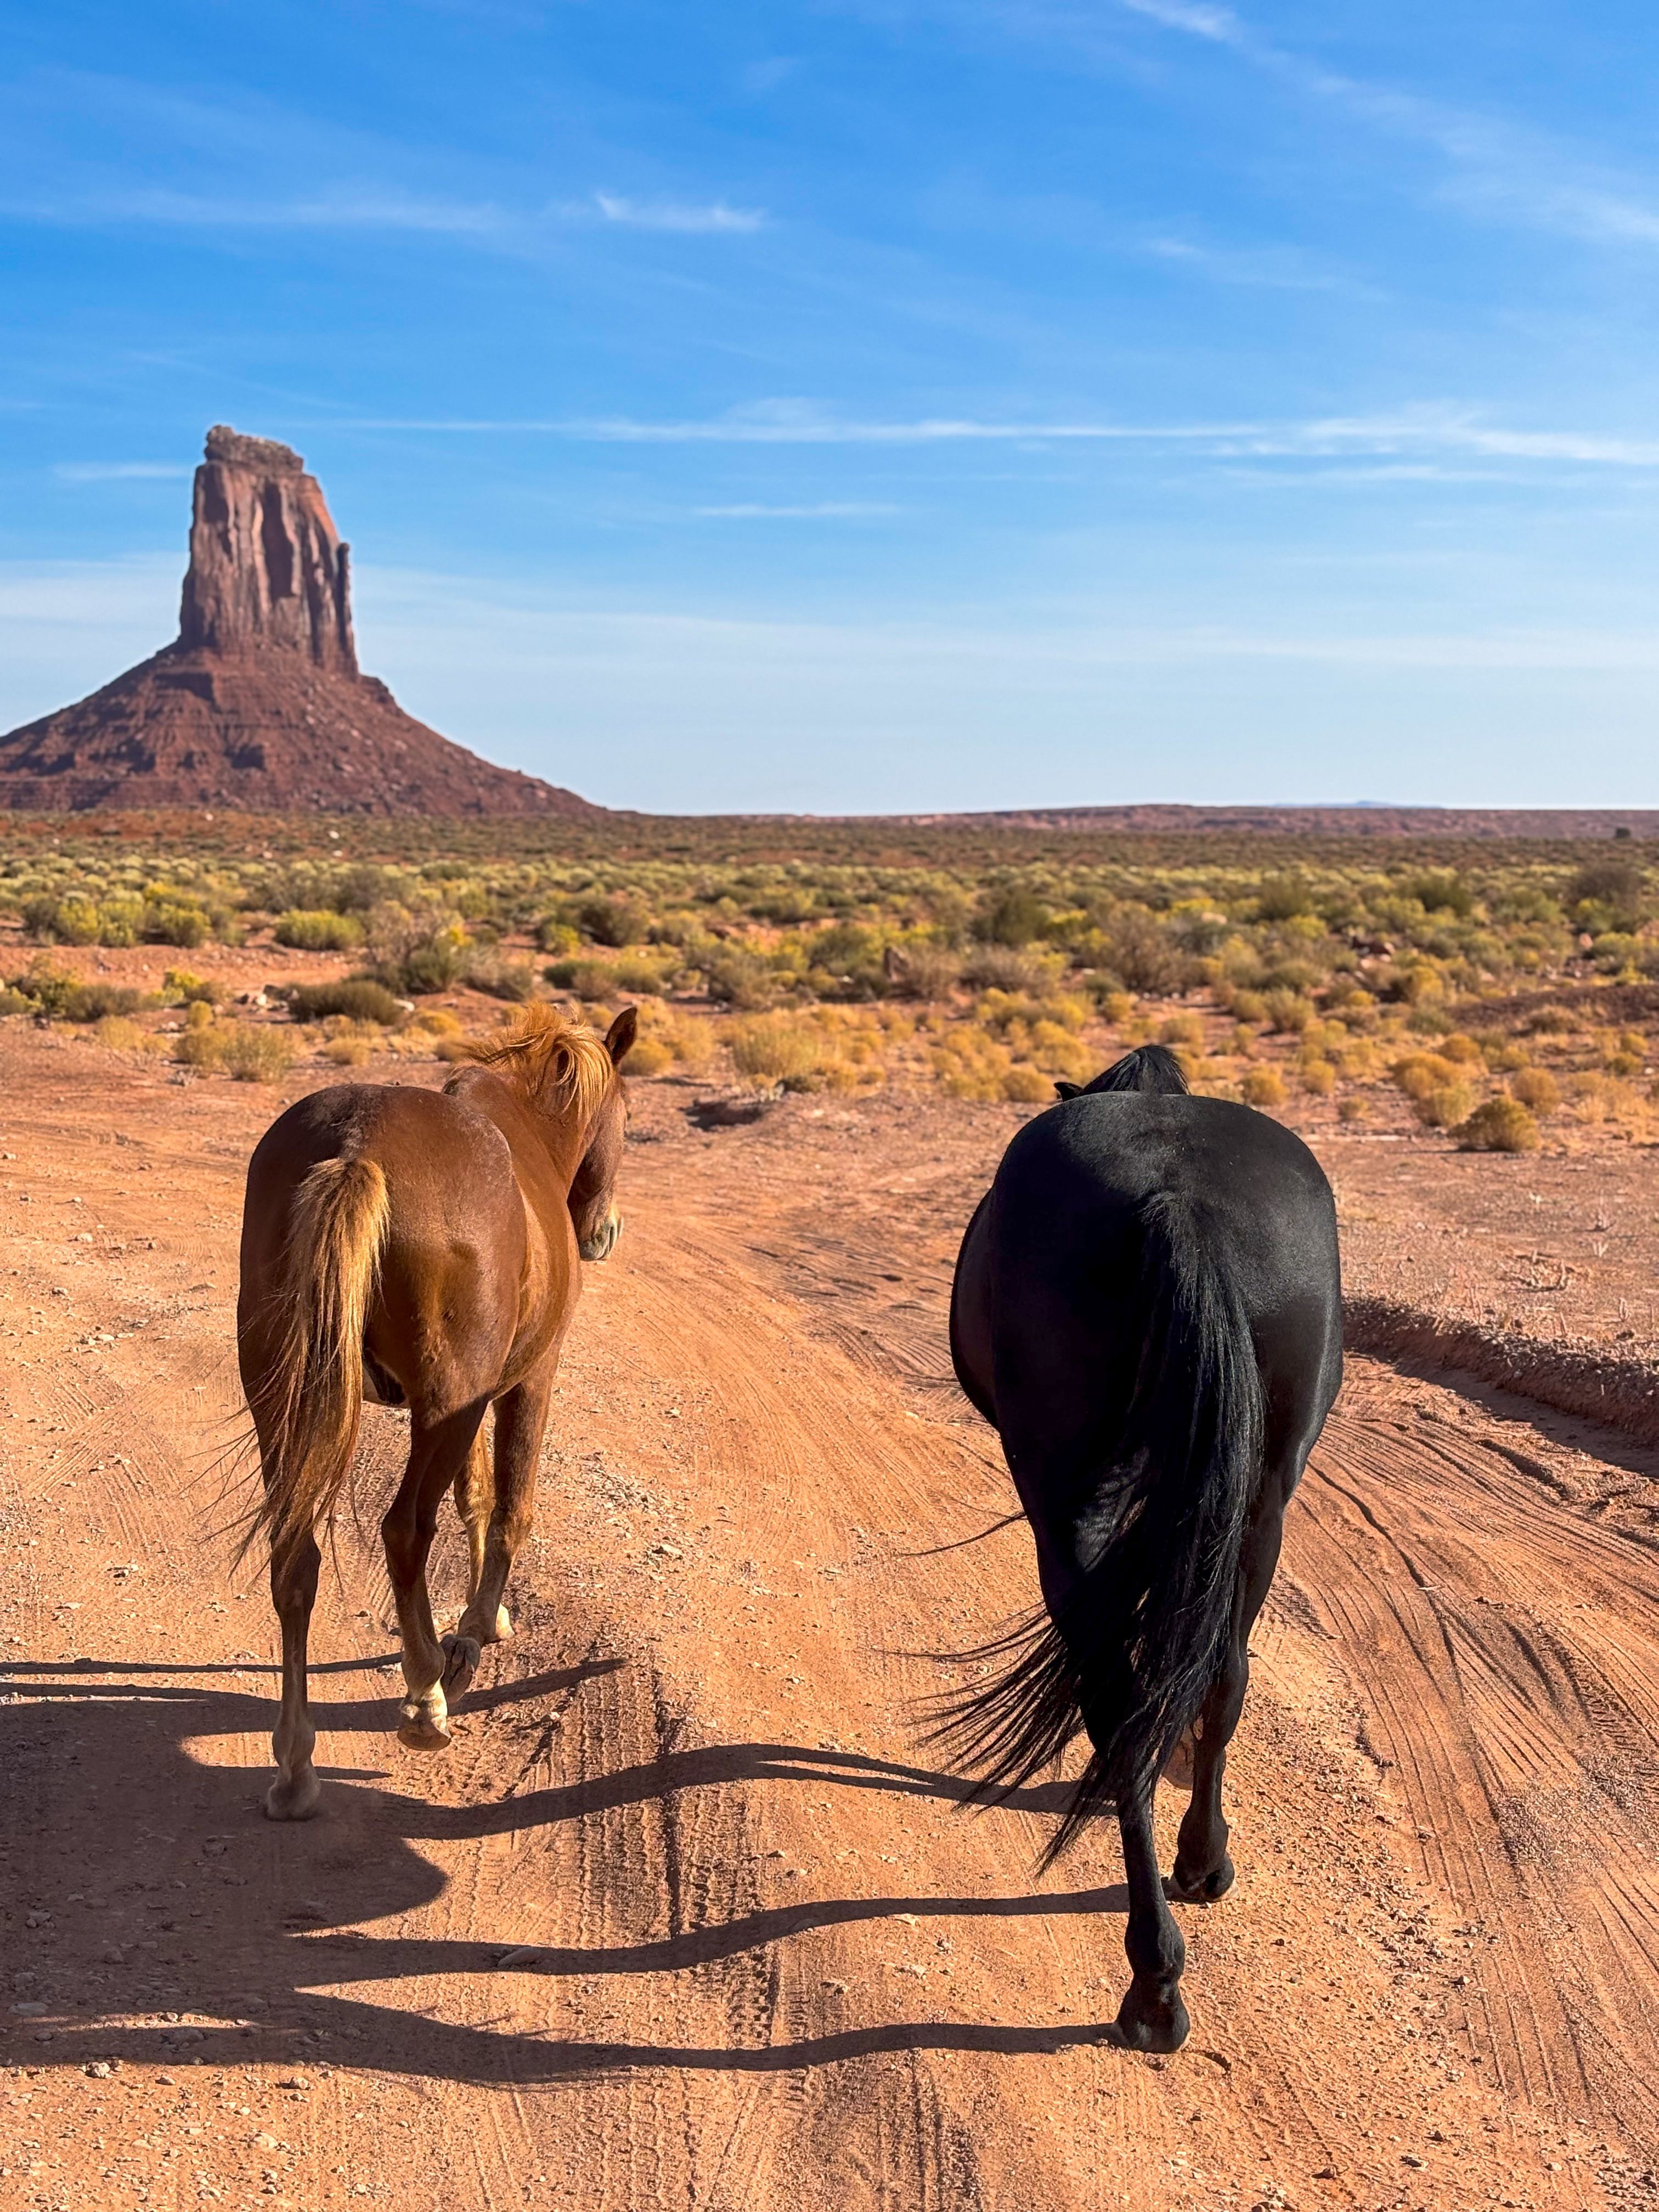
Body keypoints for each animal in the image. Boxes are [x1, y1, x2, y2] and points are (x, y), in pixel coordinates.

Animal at [235, 1001, 637, 1821]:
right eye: (632, 1118)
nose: (603, 1234)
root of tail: (358, 1148)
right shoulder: (523, 1382)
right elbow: (511, 1503)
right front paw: (477, 1630)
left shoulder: (471, 1399)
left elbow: (474, 1494)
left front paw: (485, 1621)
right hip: (444, 1402)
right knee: (403, 1532)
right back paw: (425, 1697)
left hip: (281, 1401)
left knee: (294, 1559)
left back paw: (295, 1766)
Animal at [944, 1042, 1341, 2051]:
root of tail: (1176, 1199)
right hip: (1259, 1500)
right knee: (1219, 1675)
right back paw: (1196, 1876)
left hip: (1067, 1497)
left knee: (1122, 1697)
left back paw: (1153, 1981)